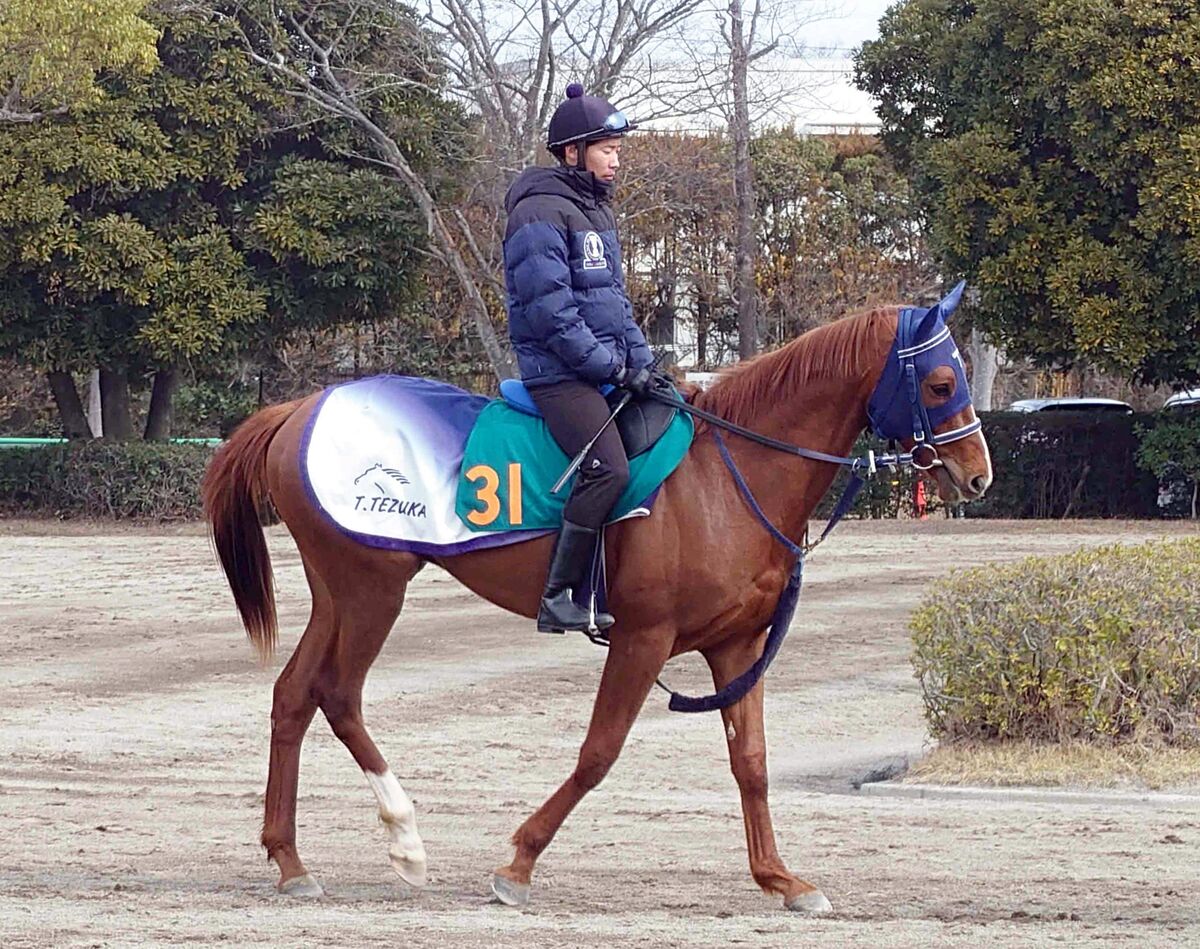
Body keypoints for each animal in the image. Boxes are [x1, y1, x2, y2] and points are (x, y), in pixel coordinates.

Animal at [201, 301, 992, 913]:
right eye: (941, 380)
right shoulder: (643, 639)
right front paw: (519, 861)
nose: (978, 474)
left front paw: (780, 877)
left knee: (294, 695)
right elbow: (598, 753)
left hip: (337, 593)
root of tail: (300, 409)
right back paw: (405, 837)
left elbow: (752, 763)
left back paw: (291, 861)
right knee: (338, 694)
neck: (727, 474)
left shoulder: (737, 646)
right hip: (372, 590)